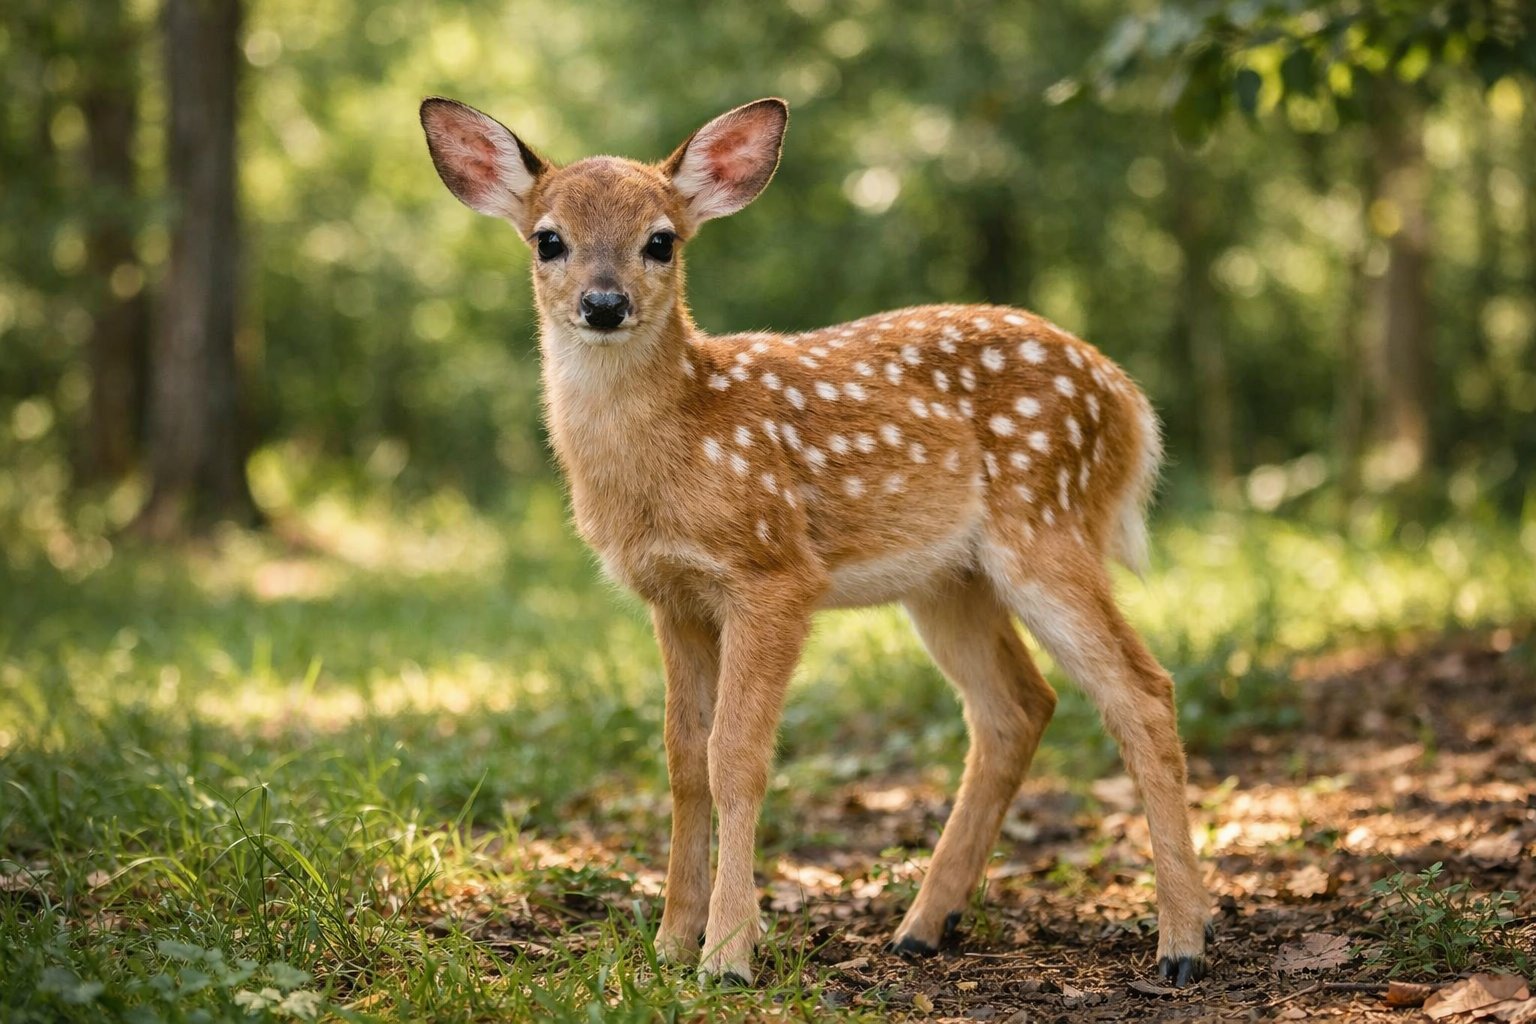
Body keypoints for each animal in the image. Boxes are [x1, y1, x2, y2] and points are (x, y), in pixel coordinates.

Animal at [419, 95, 1212, 987]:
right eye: (547, 238)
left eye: (662, 240)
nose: (604, 304)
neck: (679, 448)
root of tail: (1129, 402)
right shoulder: (671, 596)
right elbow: (682, 759)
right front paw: (670, 944)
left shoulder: (773, 572)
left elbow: (736, 757)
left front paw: (728, 955)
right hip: (949, 579)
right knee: (1017, 706)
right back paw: (921, 927)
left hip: (1048, 525)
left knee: (1143, 691)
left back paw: (1182, 943)